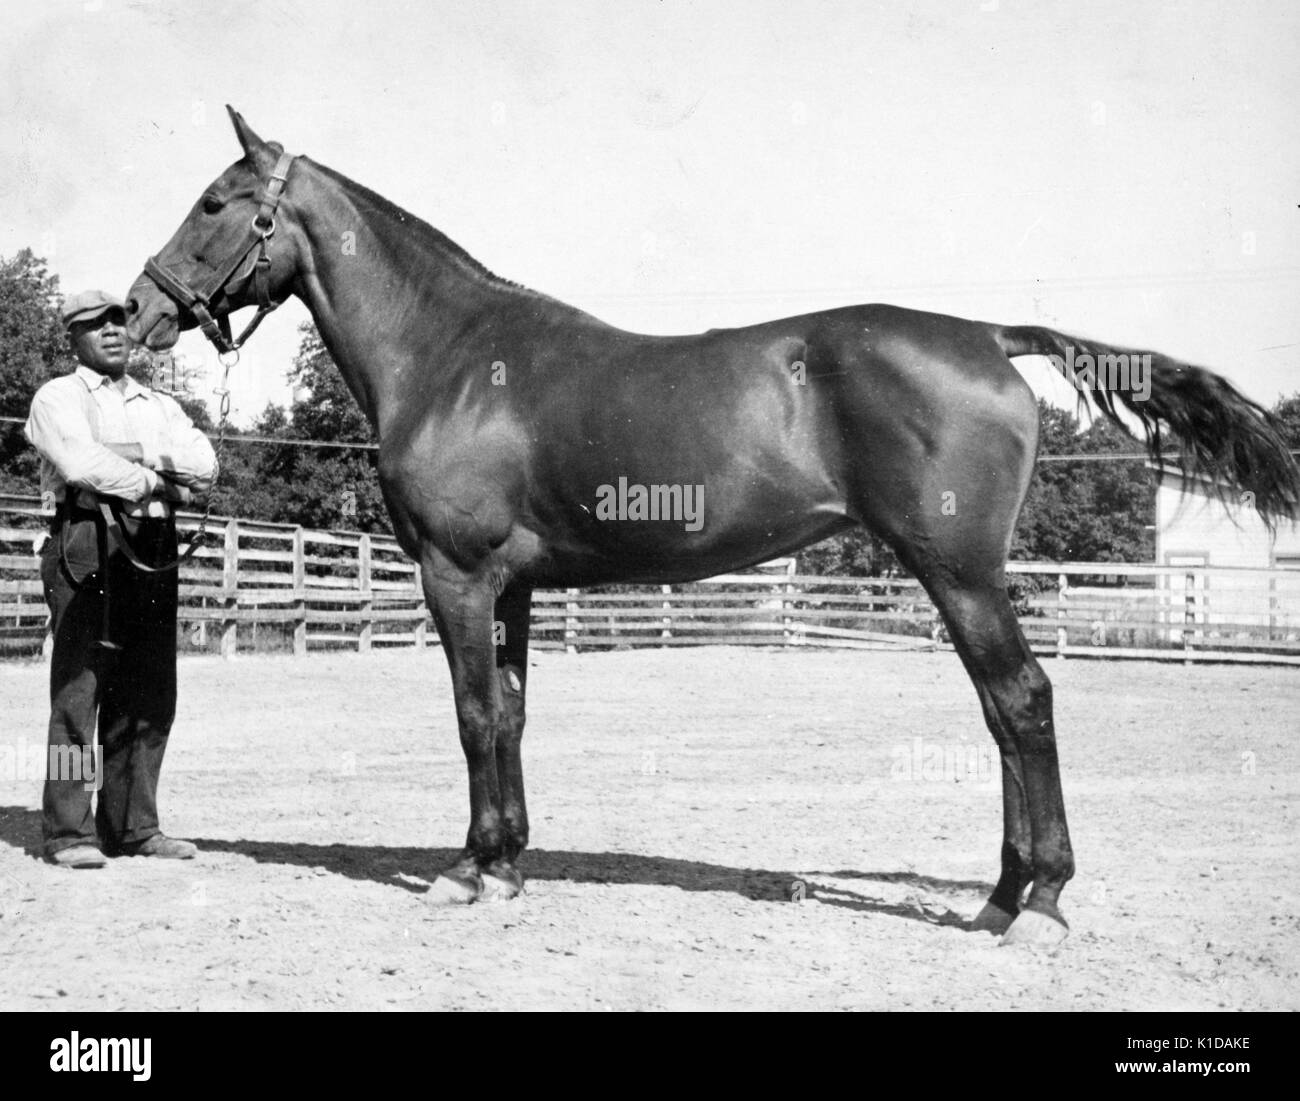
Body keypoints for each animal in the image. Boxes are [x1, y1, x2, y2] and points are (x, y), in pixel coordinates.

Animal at [126, 108, 1300, 946]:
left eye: (217, 200)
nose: (139, 312)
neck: (454, 356)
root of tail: (985, 335)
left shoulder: (455, 576)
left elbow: (470, 716)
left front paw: (465, 871)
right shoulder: (511, 587)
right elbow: (510, 717)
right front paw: (506, 863)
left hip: (958, 573)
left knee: (1020, 703)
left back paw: (1033, 904)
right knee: (1009, 713)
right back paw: (1007, 895)